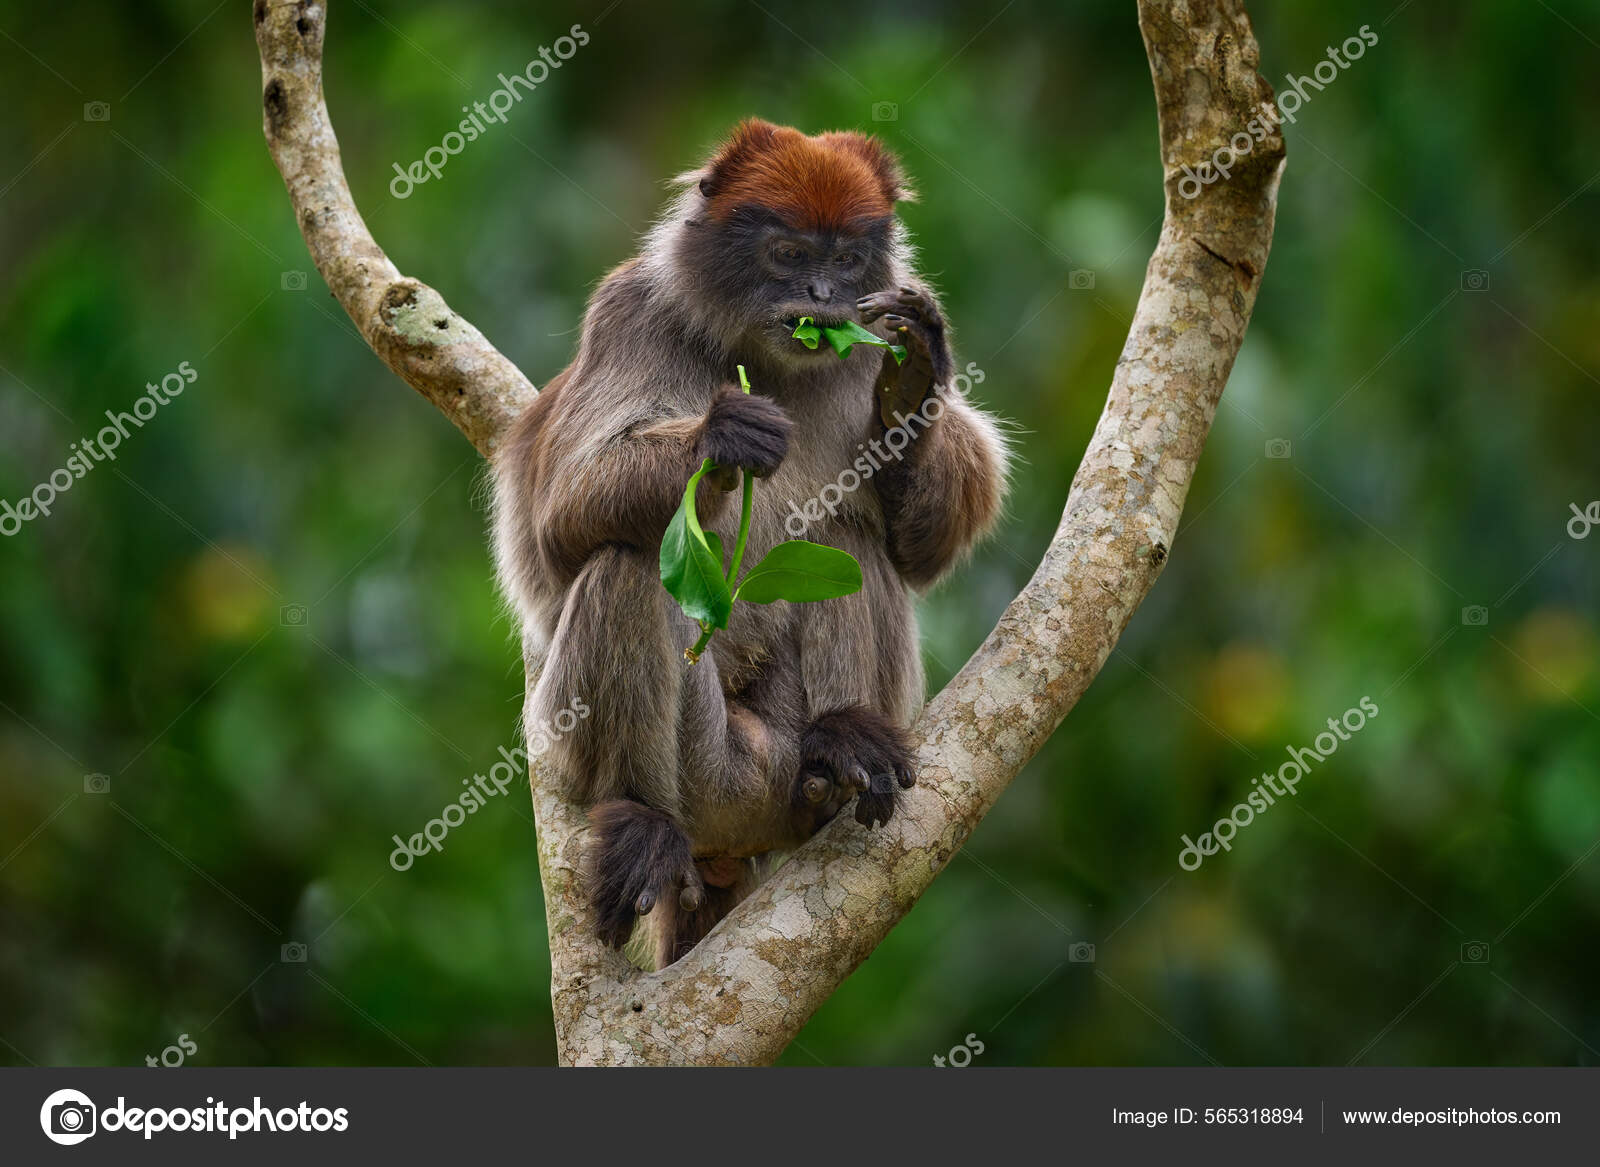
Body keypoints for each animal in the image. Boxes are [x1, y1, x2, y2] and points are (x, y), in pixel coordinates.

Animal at [491, 119, 1008, 969]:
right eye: (789, 255)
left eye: (845, 259)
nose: (824, 299)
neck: (771, 360)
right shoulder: (629, 314)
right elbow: (561, 523)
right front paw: (722, 435)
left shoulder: (872, 334)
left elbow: (922, 547)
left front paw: (913, 385)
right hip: (705, 769)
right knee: (627, 565)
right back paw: (641, 824)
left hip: (777, 763)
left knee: (848, 542)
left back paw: (839, 751)